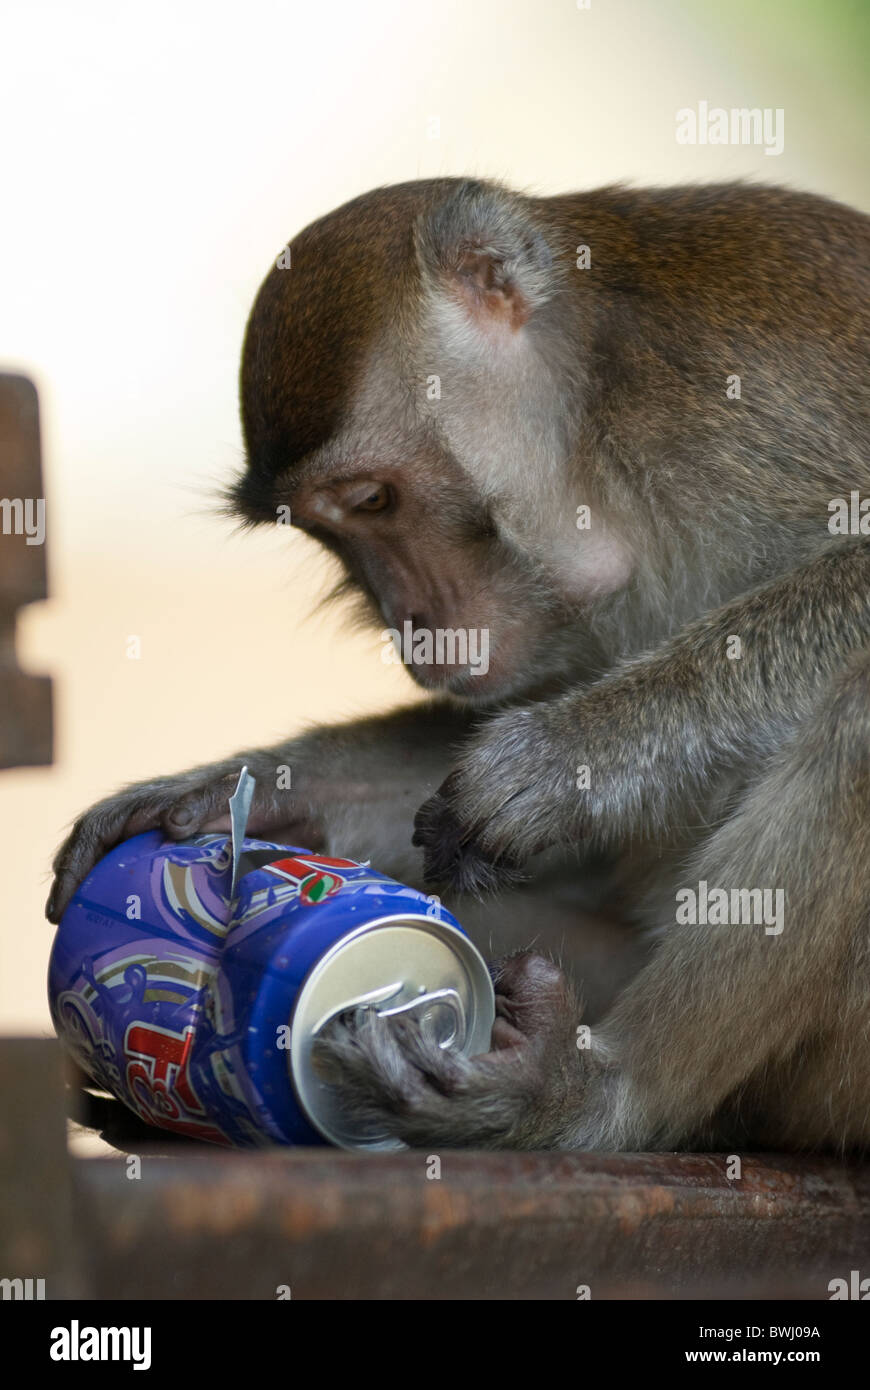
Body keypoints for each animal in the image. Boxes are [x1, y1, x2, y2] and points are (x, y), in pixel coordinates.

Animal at [47, 176, 870, 1153]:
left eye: (372, 498)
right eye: (328, 530)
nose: (408, 615)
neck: (598, 430)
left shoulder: (738, 411)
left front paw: (556, 762)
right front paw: (247, 789)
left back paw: (595, 1094)